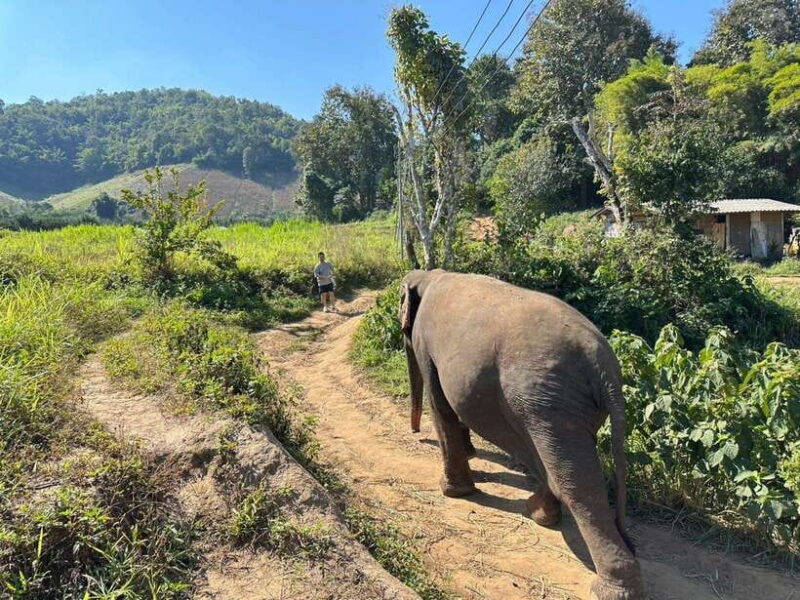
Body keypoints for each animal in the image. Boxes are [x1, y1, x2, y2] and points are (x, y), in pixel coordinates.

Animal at [400, 269, 645, 600]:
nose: (414, 433)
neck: (430, 275)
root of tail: (604, 367)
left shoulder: (425, 344)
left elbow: (441, 404)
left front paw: (452, 491)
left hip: (547, 402)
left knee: (577, 485)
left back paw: (611, 589)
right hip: (556, 407)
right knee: (556, 465)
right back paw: (539, 512)